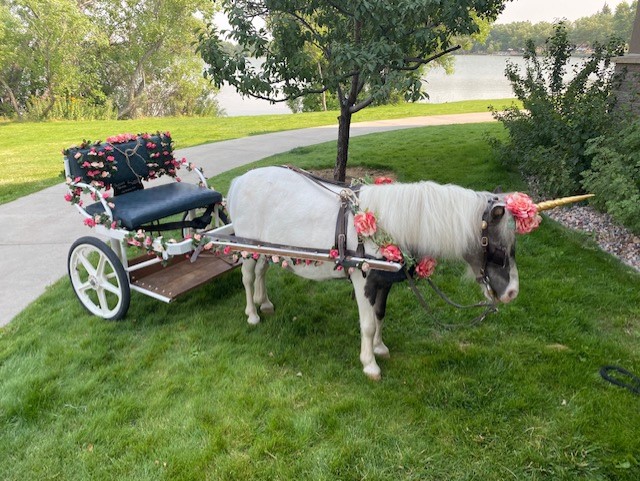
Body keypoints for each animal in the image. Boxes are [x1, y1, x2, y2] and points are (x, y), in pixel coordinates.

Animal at [227, 166, 519, 380]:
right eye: (497, 249)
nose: (512, 292)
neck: (384, 226)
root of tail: (240, 180)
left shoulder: (383, 281)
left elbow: (380, 314)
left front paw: (379, 347)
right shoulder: (363, 280)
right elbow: (367, 324)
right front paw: (369, 364)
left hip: (264, 249)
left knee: (263, 271)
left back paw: (264, 303)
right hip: (246, 247)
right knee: (248, 278)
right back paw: (252, 313)